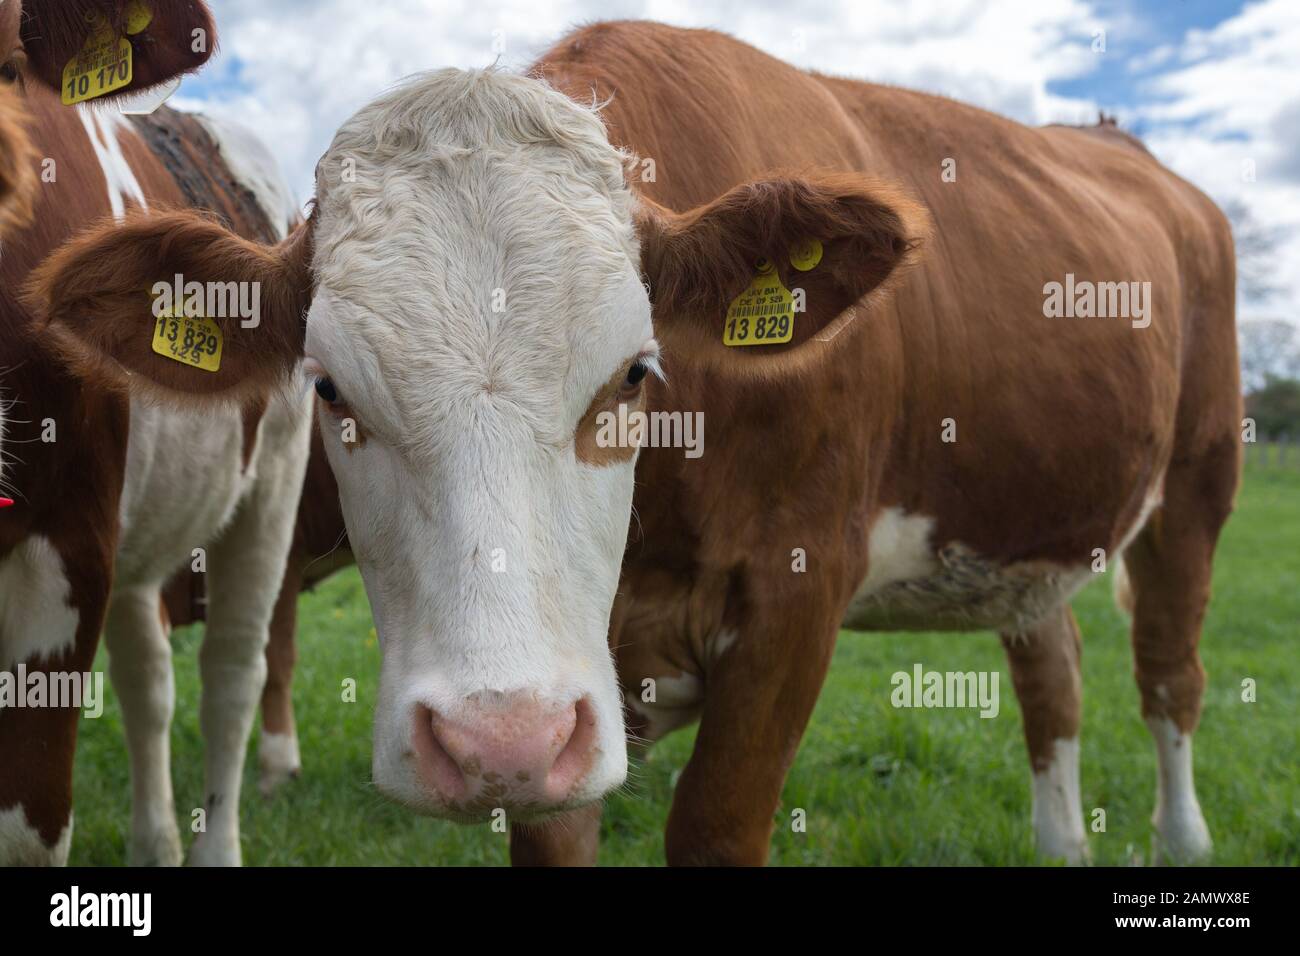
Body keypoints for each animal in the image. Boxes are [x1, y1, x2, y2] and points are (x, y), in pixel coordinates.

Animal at [0, 0, 311, 866]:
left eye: (7, 67)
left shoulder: (66, 535)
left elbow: (27, 833)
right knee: (149, 680)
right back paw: (157, 842)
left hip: (273, 484)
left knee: (232, 672)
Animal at [30, 20, 1240, 866]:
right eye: (330, 388)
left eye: (631, 374)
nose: (493, 738)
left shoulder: (797, 600)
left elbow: (713, 825)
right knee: (1054, 672)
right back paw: (1064, 838)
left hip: (1197, 483)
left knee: (1169, 674)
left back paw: (1182, 836)